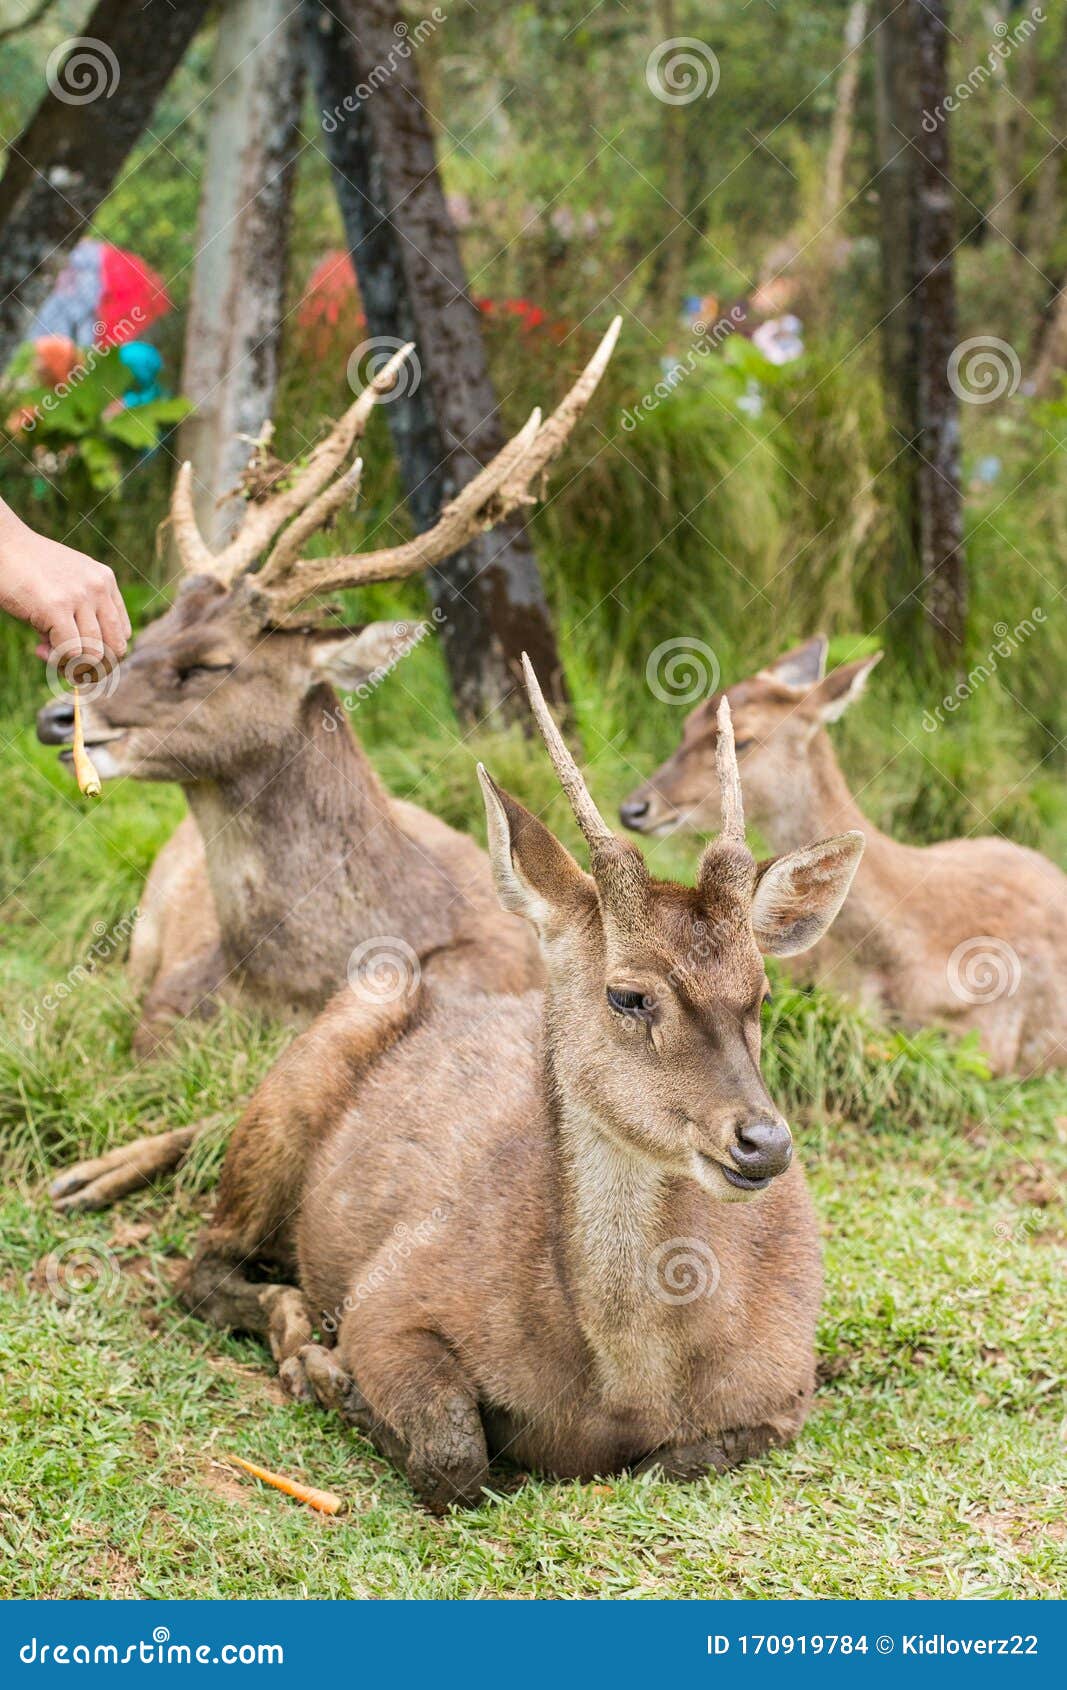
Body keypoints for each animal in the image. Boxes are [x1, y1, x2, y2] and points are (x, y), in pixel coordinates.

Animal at [37, 320, 621, 1212]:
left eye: (210, 663)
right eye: (151, 625)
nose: (57, 717)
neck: (293, 982)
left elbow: (235, 1108)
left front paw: (91, 1172)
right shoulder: (164, 1000)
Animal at [179, 656, 864, 1512]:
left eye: (762, 992)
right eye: (627, 994)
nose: (762, 1144)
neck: (621, 1386)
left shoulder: (786, 1382)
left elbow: (669, 1464)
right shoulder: (391, 1291)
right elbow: (452, 1458)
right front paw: (336, 1378)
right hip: (288, 1095)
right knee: (200, 1272)